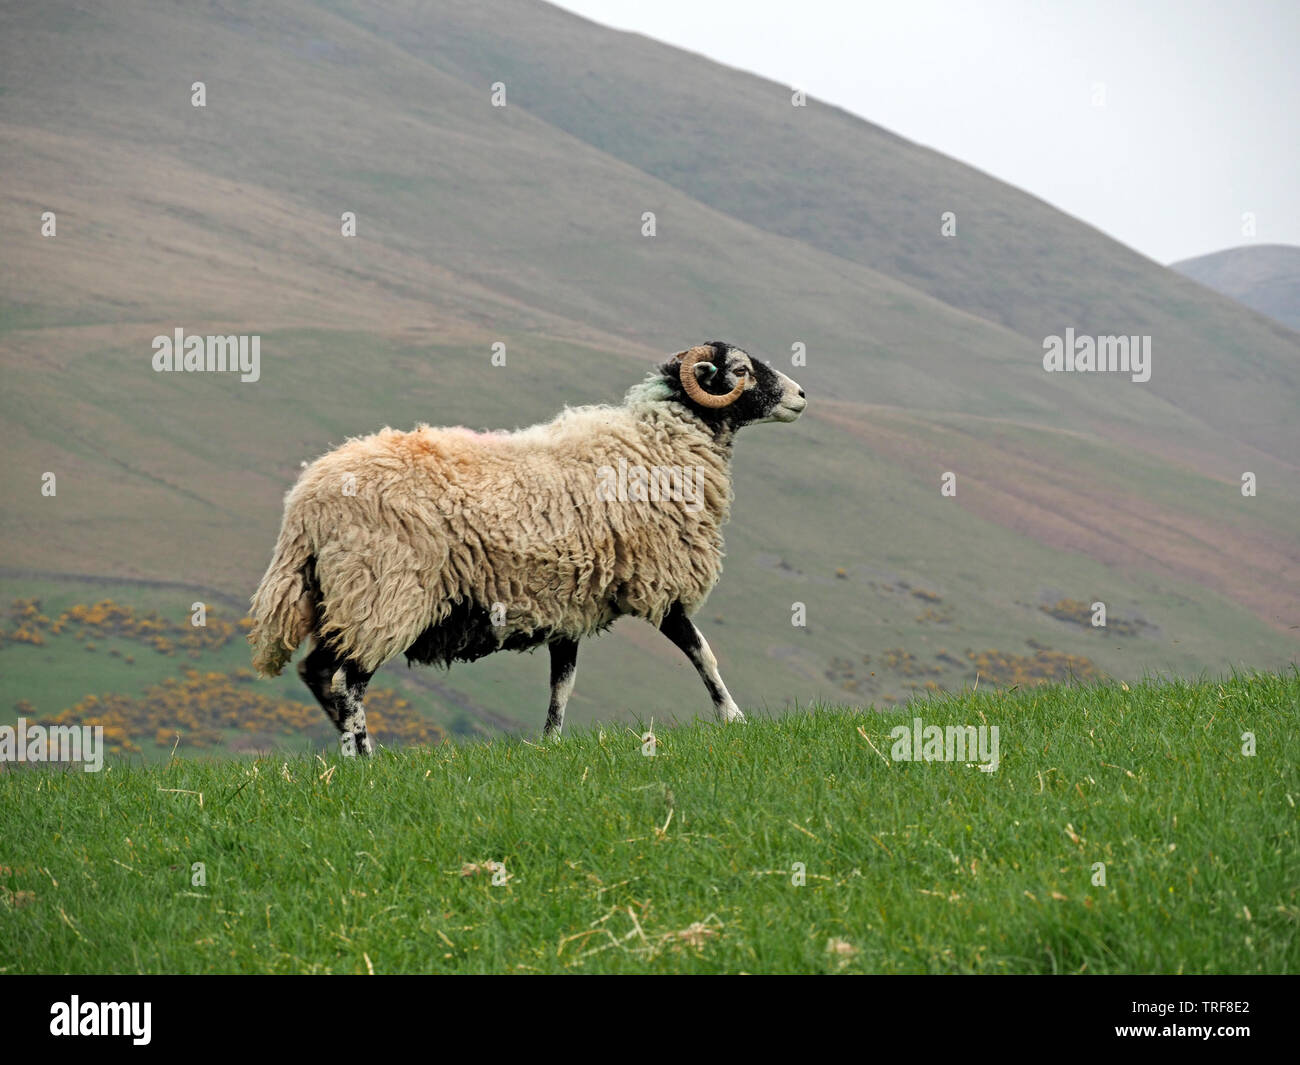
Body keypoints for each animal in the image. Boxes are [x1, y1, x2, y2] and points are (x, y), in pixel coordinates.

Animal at [248, 341, 807, 753]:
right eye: (740, 371)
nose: (802, 395)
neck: (658, 446)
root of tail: (305, 506)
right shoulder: (656, 582)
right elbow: (702, 653)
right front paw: (734, 719)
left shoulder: (570, 602)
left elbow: (563, 684)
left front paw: (551, 745)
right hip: (383, 592)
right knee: (348, 681)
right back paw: (363, 757)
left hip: (338, 597)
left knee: (318, 672)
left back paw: (353, 754)